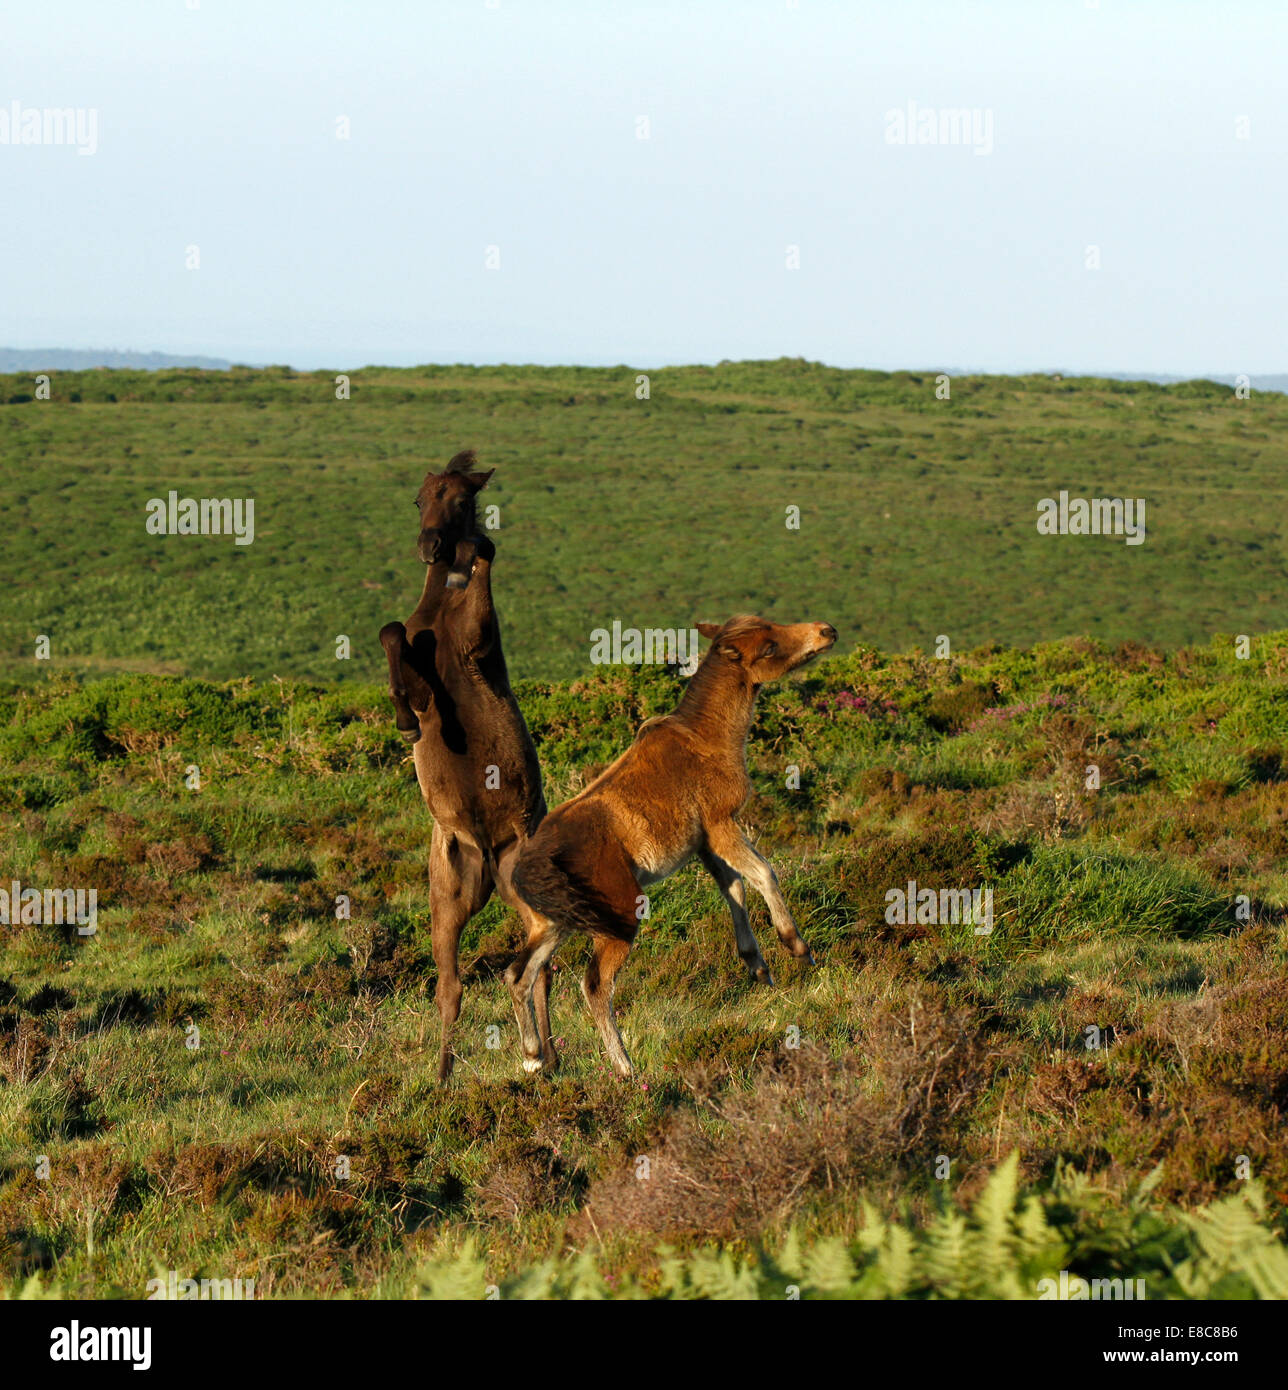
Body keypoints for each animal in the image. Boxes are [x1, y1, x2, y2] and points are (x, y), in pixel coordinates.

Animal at [378, 451, 548, 1082]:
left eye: (460, 498)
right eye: (419, 498)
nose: (429, 548)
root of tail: (491, 859)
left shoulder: (476, 645)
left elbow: (482, 563)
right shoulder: (419, 655)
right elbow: (394, 635)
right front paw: (407, 721)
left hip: (524, 883)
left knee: (539, 968)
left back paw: (543, 1056)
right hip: (448, 897)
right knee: (450, 986)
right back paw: (444, 1076)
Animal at [507, 615, 837, 1076]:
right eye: (768, 646)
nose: (826, 631)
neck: (708, 736)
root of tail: (522, 871)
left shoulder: (703, 843)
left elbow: (733, 888)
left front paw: (757, 965)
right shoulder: (719, 822)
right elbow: (763, 872)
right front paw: (797, 947)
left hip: (552, 923)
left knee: (520, 974)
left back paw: (534, 1056)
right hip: (618, 916)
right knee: (594, 984)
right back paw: (625, 1069)